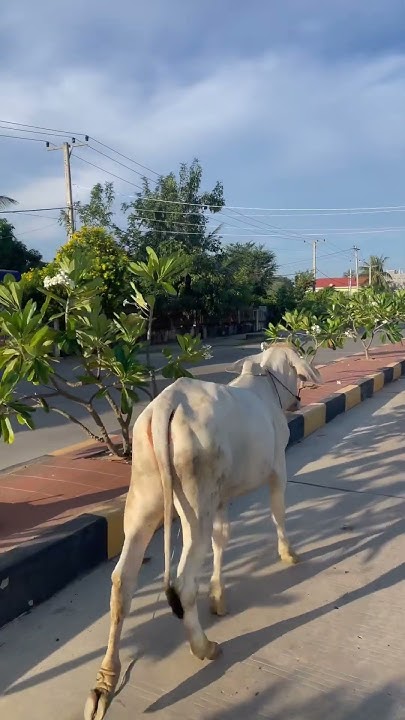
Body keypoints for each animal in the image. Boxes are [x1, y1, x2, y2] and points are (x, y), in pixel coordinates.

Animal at [84, 344, 321, 720]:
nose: (298, 401)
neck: (265, 387)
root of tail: (167, 403)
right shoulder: (278, 471)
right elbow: (278, 514)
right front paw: (288, 553)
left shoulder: (220, 498)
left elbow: (221, 540)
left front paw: (218, 597)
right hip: (194, 504)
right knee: (182, 582)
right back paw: (204, 647)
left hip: (145, 498)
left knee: (123, 581)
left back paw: (105, 683)